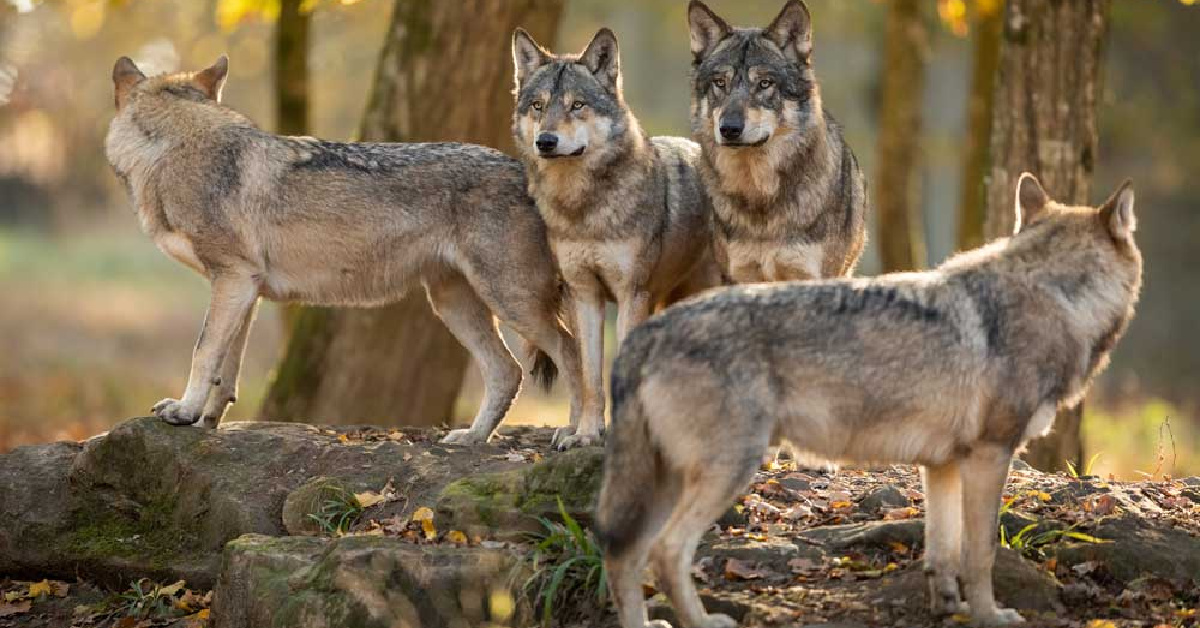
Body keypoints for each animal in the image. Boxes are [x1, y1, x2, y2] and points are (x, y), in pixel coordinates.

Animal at [104, 56, 586, 444]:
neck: (173, 149)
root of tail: (529, 173)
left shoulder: (232, 280)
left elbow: (203, 352)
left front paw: (184, 412)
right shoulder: (245, 289)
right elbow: (227, 368)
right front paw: (208, 420)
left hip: (510, 302)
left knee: (570, 352)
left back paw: (575, 435)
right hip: (453, 304)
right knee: (508, 371)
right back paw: (471, 438)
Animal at [511, 28, 720, 449]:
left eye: (577, 106)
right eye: (539, 106)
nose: (546, 141)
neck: (584, 209)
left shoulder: (630, 294)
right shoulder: (585, 294)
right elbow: (591, 377)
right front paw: (586, 433)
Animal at [596, 174, 1142, 628]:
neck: (1055, 295)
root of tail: (646, 334)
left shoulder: (943, 465)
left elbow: (942, 553)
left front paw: (948, 607)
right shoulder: (990, 455)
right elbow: (980, 552)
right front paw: (991, 616)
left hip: (667, 480)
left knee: (624, 555)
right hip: (727, 469)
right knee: (666, 553)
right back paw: (705, 621)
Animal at [688, 0, 867, 283]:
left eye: (764, 83)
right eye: (720, 83)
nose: (729, 129)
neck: (760, 196)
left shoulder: (810, 276)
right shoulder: (739, 277)